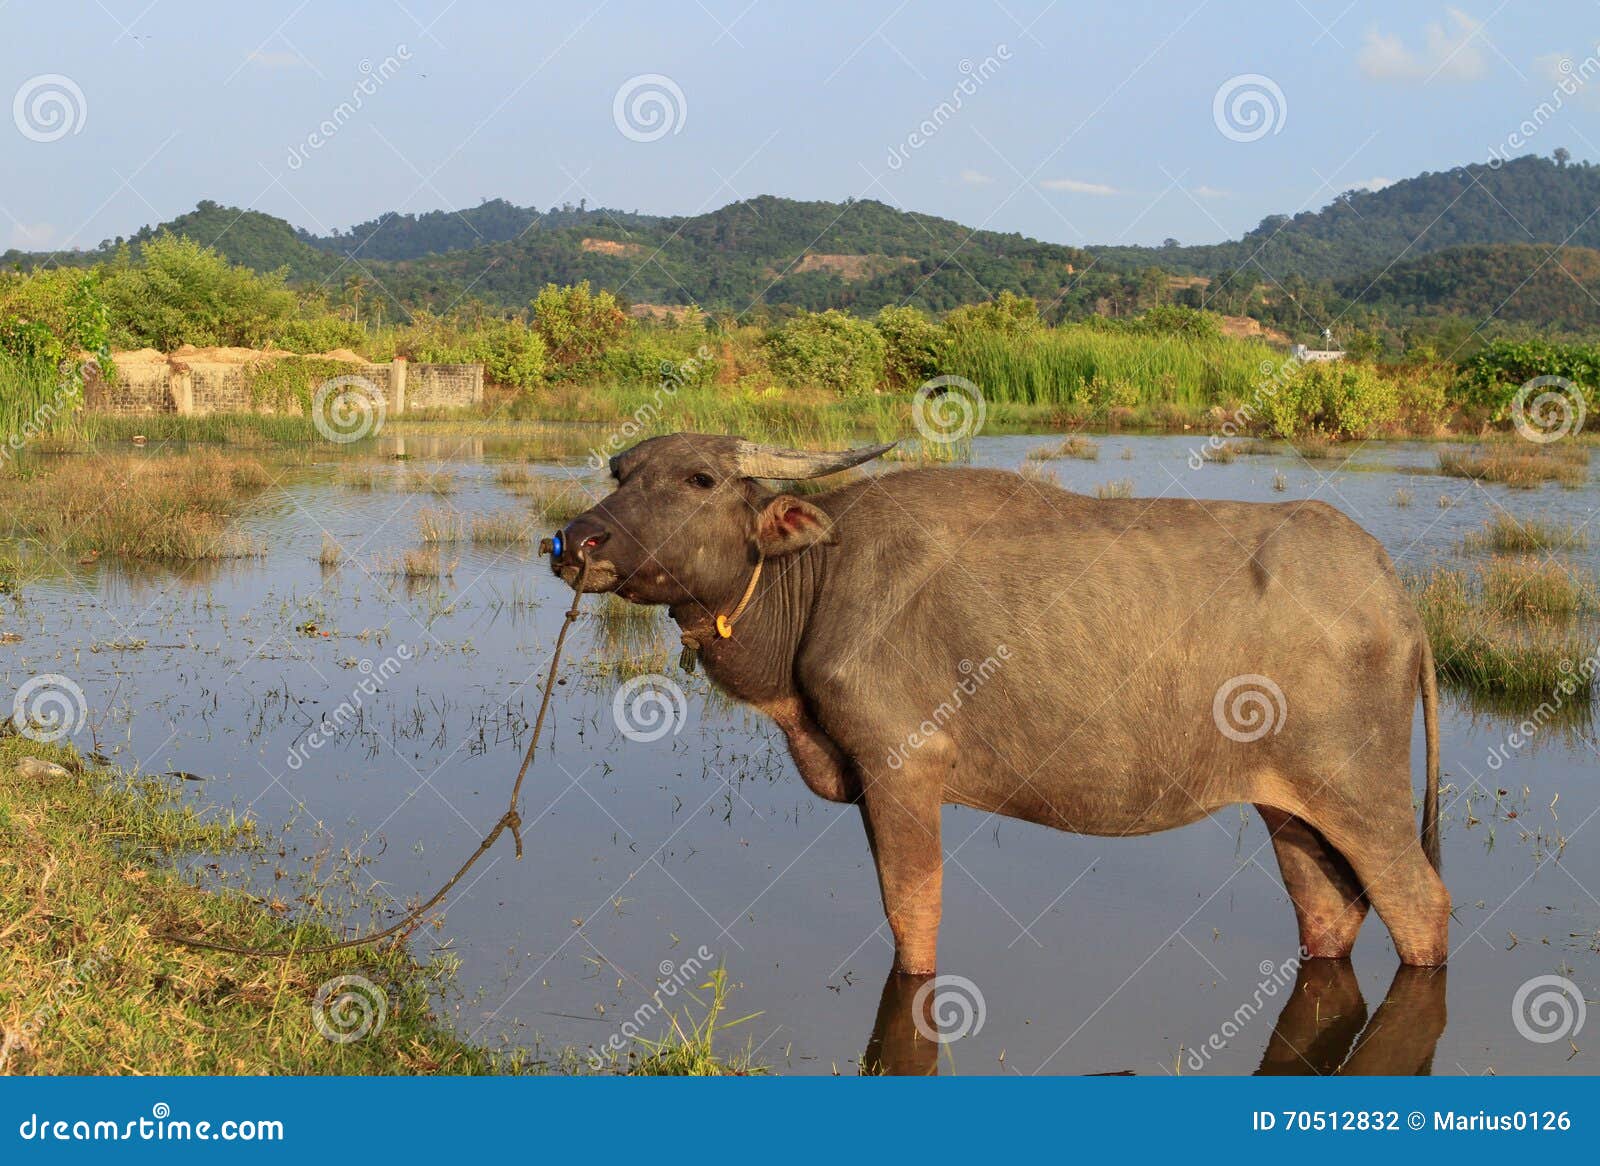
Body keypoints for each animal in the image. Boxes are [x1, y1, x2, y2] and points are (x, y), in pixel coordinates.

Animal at [550, 433, 1450, 975]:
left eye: (699, 479)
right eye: (621, 474)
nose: (576, 541)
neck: (813, 579)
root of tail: (1394, 594)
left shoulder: (902, 768)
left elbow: (912, 915)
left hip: (1361, 791)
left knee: (1420, 905)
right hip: (1288, 804)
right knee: (1329, 909)